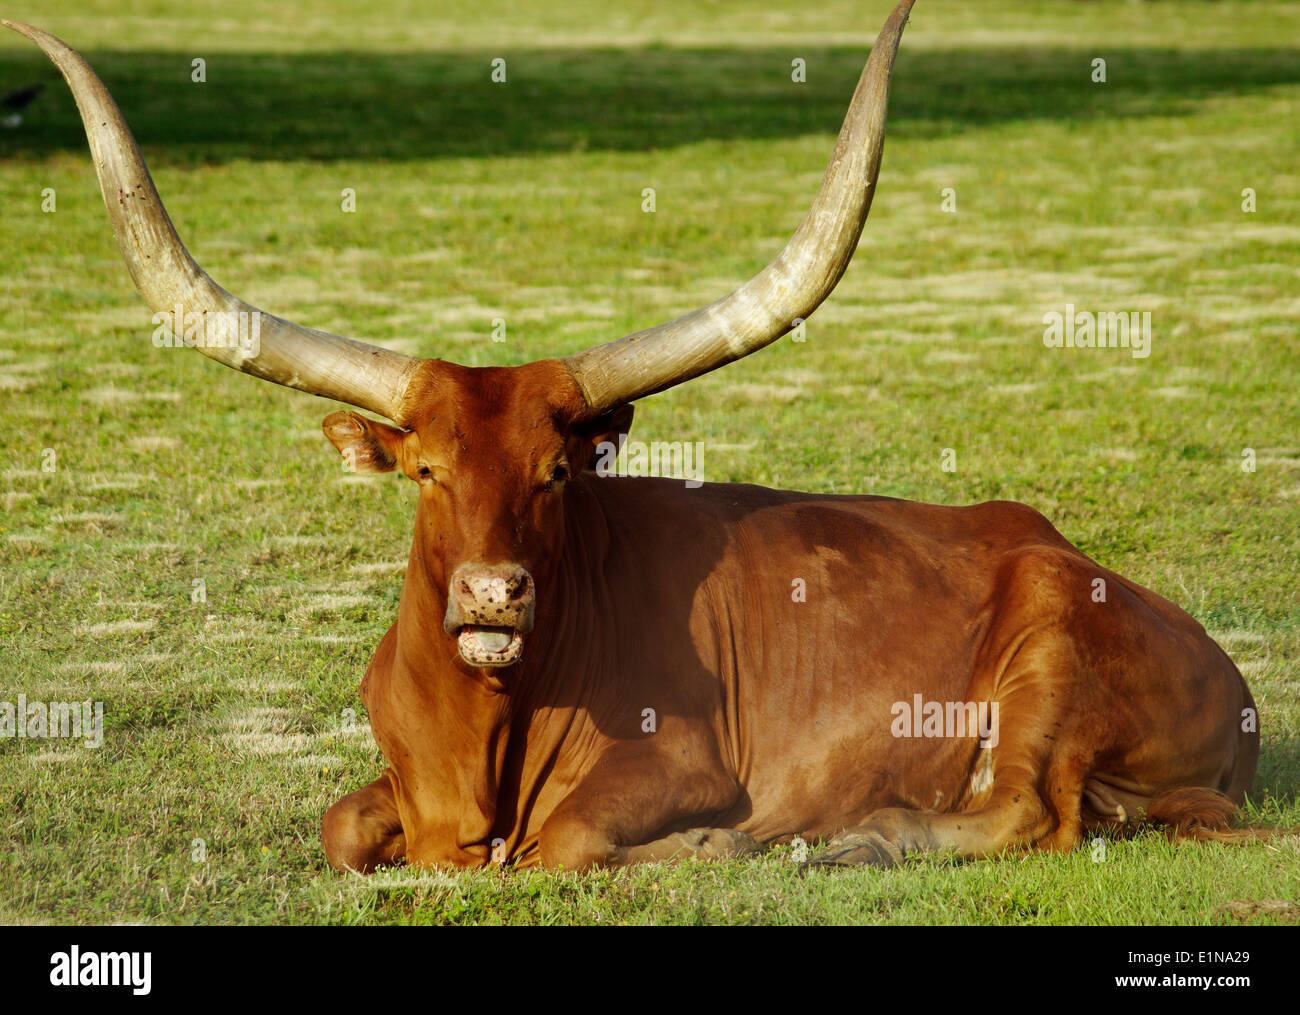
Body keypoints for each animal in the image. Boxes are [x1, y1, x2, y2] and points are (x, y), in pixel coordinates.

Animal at [9, 0, 1265, 874]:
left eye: (556, 473)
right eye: (425, 470)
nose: (493, 593)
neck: (480, 747)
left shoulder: (673, 759)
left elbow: (564, 840)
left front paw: (716, 844)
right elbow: (341, 823)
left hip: (1050, 644)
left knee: (1029, 813)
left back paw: (863, 836)